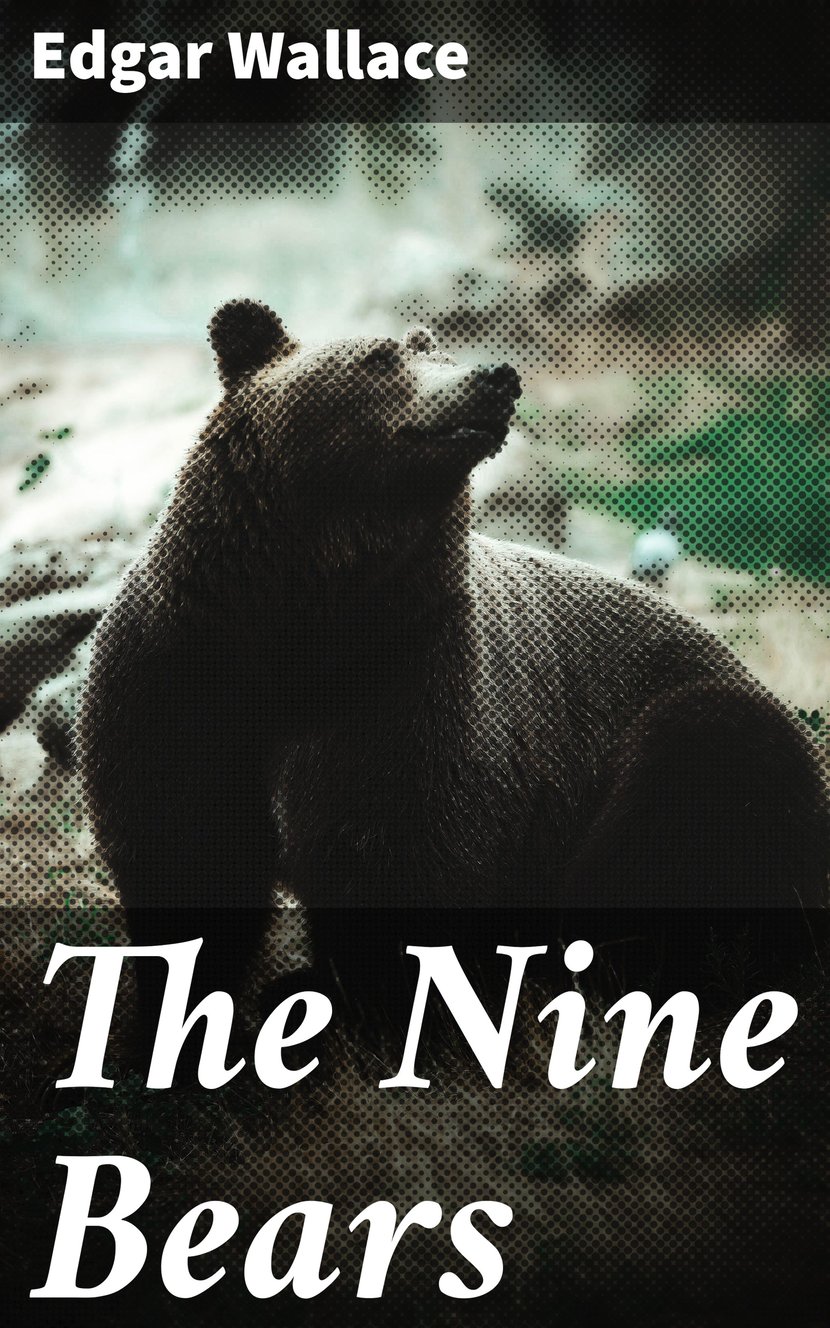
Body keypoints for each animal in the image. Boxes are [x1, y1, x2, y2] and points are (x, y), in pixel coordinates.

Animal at [77, 298, 827, 1060]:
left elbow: (389, 856)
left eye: (430, 347)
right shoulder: (187, 668)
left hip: (702, 744)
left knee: (686, 793)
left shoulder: (408, 684)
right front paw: (167, 1028)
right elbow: (186, 846)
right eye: (381, 356)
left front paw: (366, 1020)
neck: (306, 614)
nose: (495, 378)